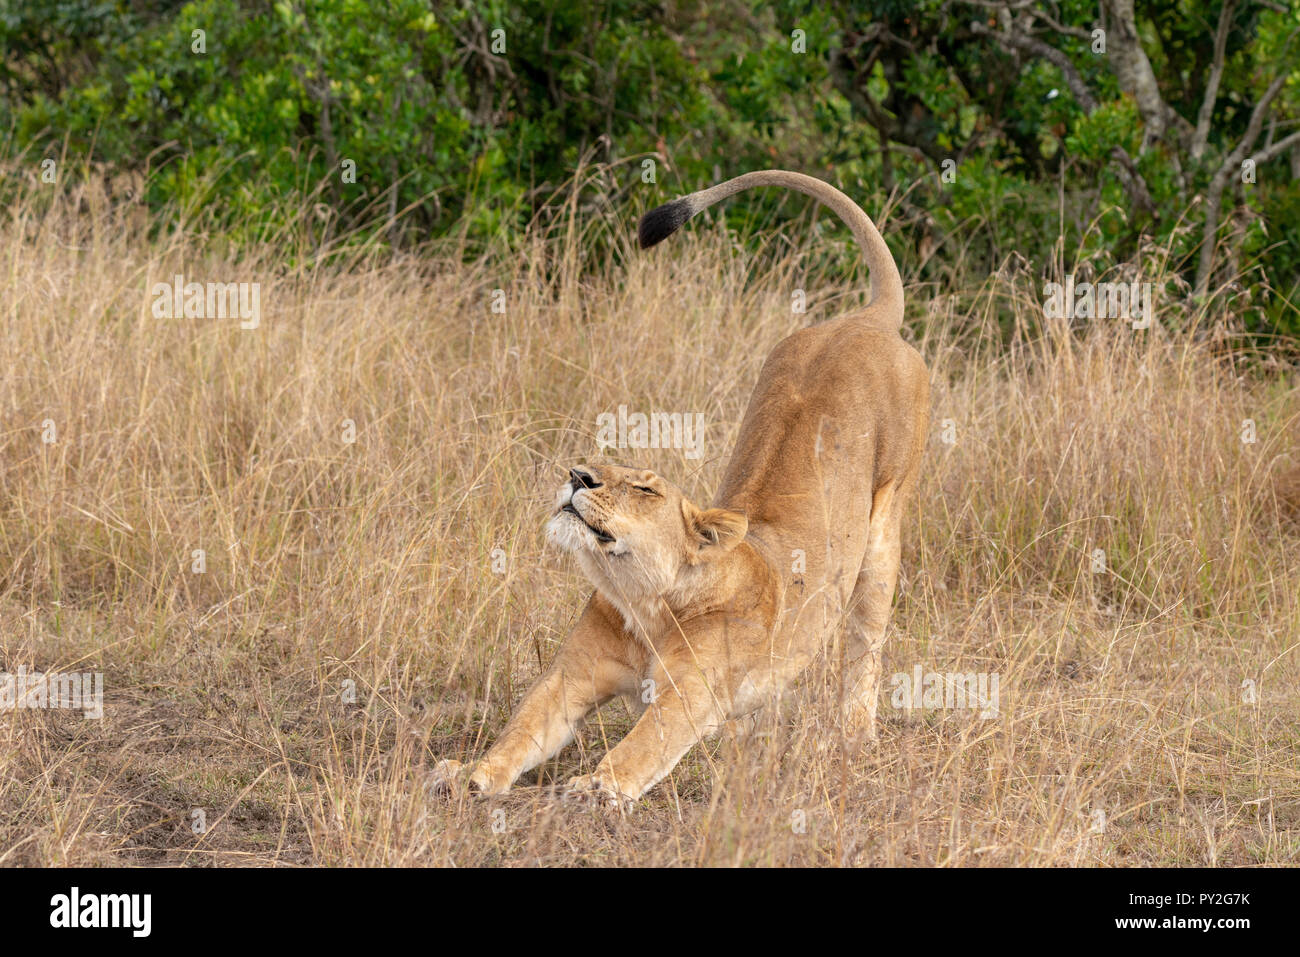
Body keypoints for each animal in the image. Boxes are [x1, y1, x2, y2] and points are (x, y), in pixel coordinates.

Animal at [432, 170, 930, 811]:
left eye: (644, 489)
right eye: (596, 464)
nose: (576, 476)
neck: (644, 601)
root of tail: (867, 319)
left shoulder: (690, 694)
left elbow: (644, 745)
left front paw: (597, 786)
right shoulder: (569, 678)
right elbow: (520, 731)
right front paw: (469, 774)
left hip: (883, 535)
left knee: (865, 643)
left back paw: (850, 736)